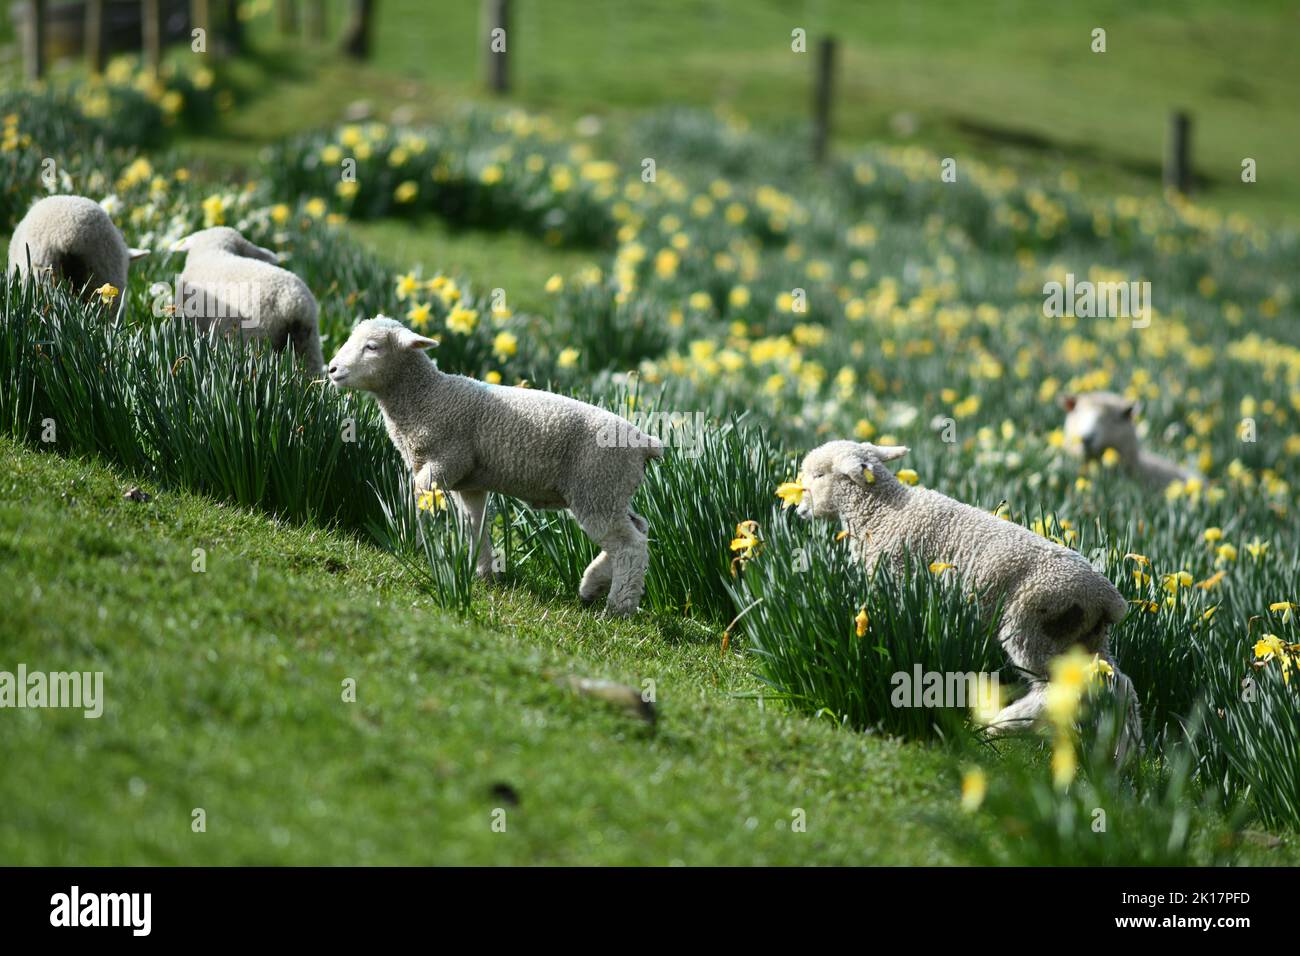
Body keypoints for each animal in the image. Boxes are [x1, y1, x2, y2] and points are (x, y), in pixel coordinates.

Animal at [327, 317, 663, 615]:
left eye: (372, 347)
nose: (331, 369)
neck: (426, 397)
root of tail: (645, 442)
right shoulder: (469, 483)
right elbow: (475, 525)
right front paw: (484, 573)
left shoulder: (447, 459)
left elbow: (419, 496)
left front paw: (410, 542)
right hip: (611, 491)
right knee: (638, 529)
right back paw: (592, 584)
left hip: (597, 486)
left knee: (629, 546)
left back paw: (619, 607)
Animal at [793, 439, 1139, 744]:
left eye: (819, 475)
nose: (798, 510)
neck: (879, 513)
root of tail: (1111, 599)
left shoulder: (893, 578)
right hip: (1085, 637)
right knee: (1121, 687)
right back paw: (1126, 755)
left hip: (1034, 627)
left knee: (1055, 689)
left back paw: (1002, 724)